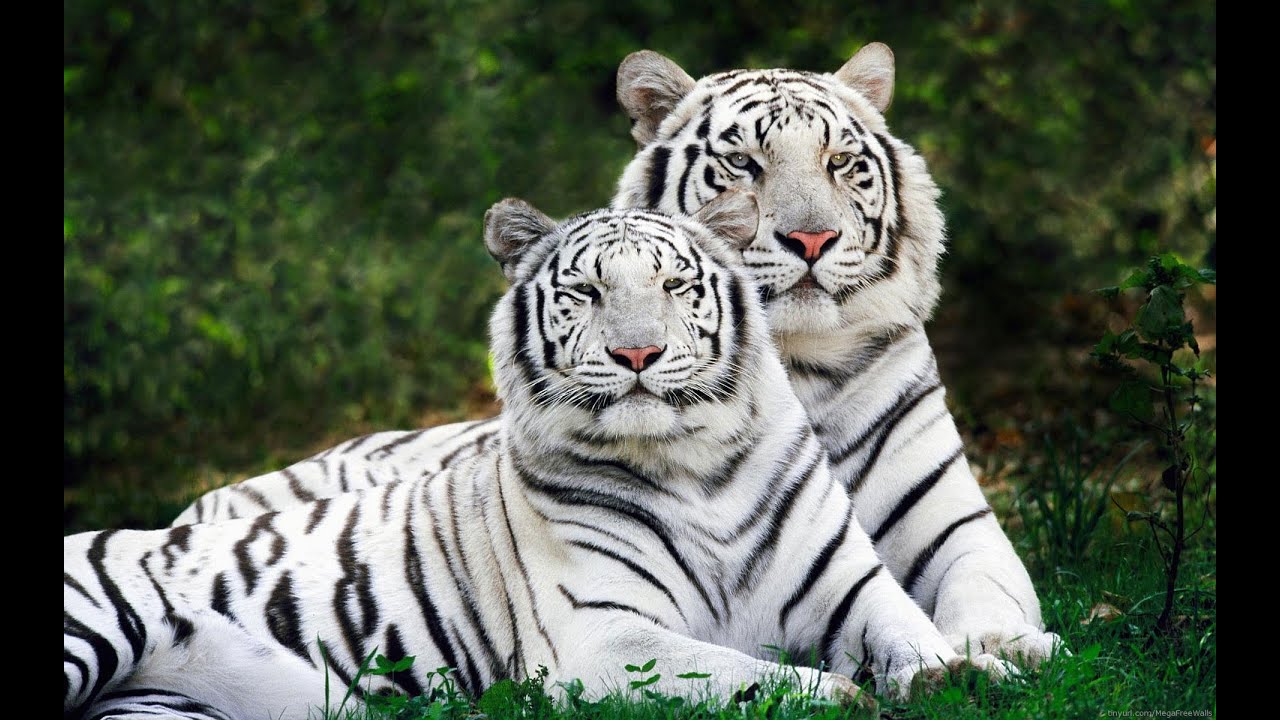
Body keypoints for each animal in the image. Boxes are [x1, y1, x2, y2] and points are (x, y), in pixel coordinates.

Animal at [67, 194, 1013, 719]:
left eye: (674, 286)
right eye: (586, 291)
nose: (637, 355)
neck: (697, 466)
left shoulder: (851, 587)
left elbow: (914, 634)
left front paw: (972, 673)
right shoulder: (602, 637)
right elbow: (746, 673)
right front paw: (844, 697)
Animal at [170, 42, 1062, 666]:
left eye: (842, 162)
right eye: (744, 163)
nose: (811, 239)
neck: (798, 365)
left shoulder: (956, 523)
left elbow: (987, 587)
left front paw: (1008, 648)